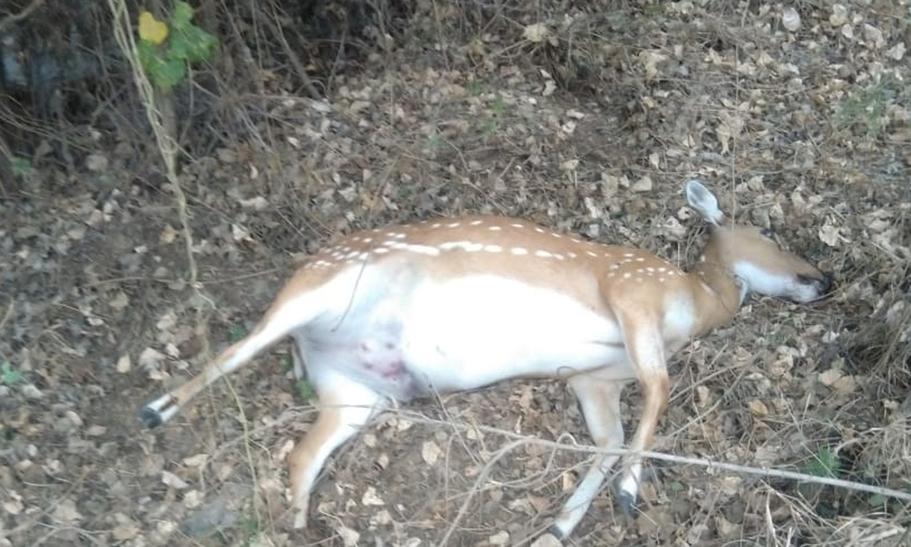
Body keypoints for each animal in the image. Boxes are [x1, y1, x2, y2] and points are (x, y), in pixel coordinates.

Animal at [139, 179, 831, 539]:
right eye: (767, 234)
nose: (821, 279)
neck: (692, 303)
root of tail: (311, 352)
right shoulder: (631, 293)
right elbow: (661, 392)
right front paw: (629, 494)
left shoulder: (594, 377)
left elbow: (609, 438)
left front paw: (563, 523)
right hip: (316, 288)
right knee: (234, 350)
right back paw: (153, 411)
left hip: (357, 392)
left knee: (302, 454)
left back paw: (298, 522)